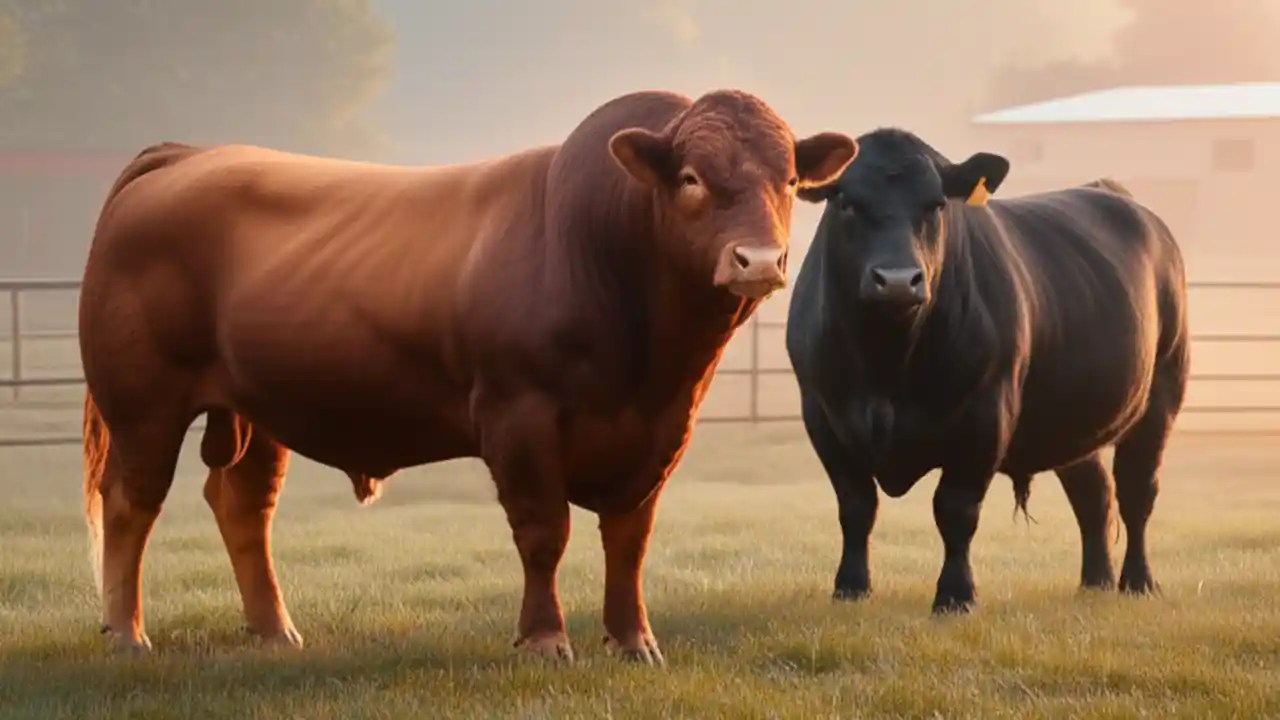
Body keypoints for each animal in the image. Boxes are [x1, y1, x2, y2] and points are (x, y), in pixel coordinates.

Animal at [78, 89, 858, 663]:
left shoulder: (665, 429)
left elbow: (629, 537)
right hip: (143, 404)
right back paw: (128, 634)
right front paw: (544, 640)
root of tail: (186, 154)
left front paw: (634, 641)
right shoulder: (519, 415)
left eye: (789, 179)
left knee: (242, 503)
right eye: (692, 179)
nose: (759, 260)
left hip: (256, 408)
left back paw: (275, 632)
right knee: (131, 502)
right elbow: (544, 532)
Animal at [784, 128, 1189, 614]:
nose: (898, 281)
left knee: (1136, 491)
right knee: (1093, 493)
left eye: (937, 204)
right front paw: (850, 587)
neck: (887, 363)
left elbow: (956, 510)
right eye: (845, 202)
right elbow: (856, 505)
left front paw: (956, 595)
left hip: (1161, 393)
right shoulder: (823, 415)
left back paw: (1138, 580)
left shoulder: (984, 415)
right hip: (1072, 417)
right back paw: (1095, 581)